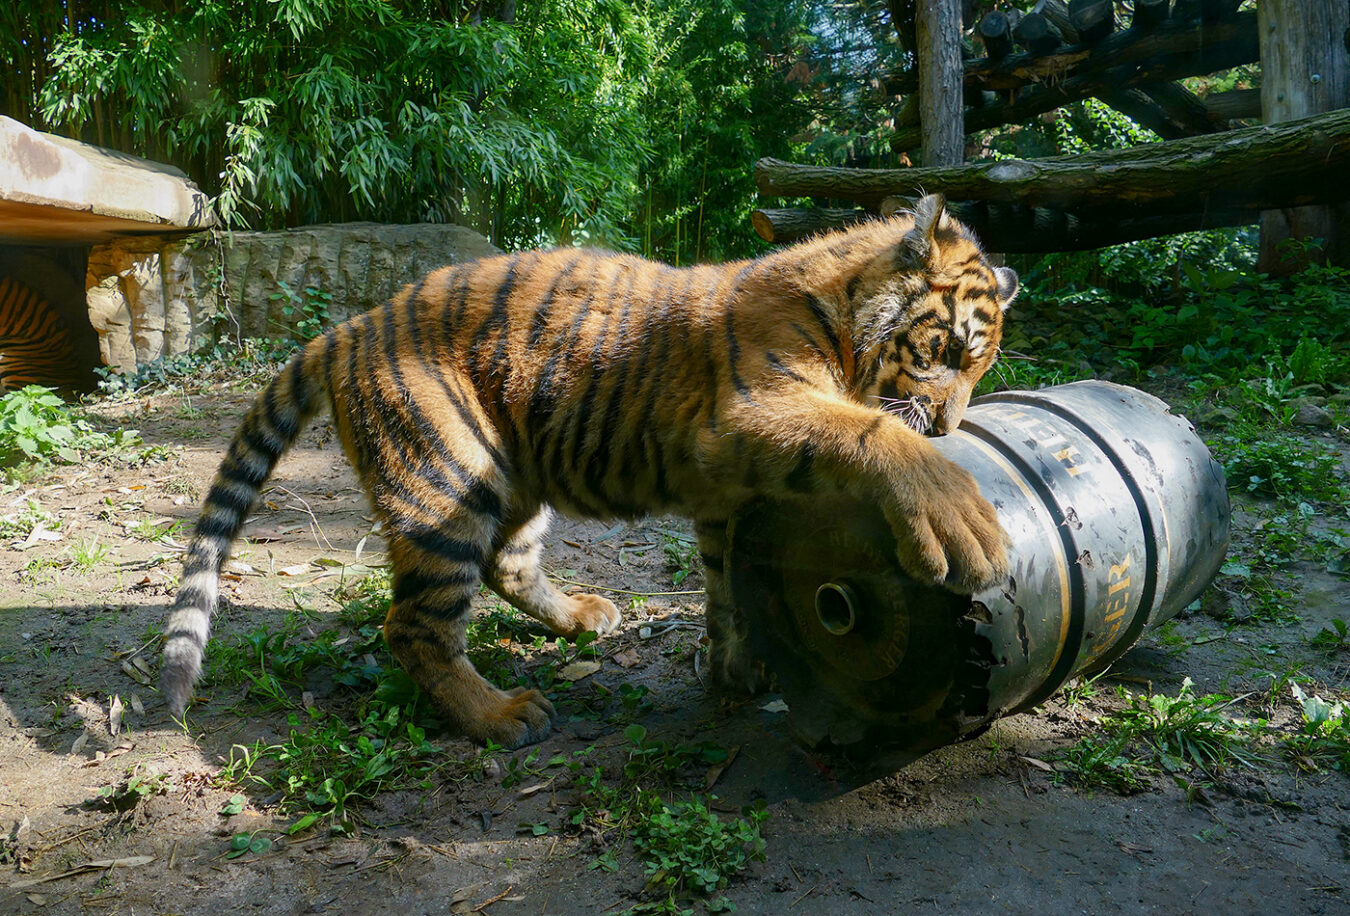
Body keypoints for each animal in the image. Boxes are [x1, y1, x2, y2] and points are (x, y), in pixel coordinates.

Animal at [161, 194, 1019, 749]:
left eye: (980, 369)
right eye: (948, 353)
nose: (953, 426)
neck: (845, 318)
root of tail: (351, 327)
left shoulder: (726, 494)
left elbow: (728, 591)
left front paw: (737, 672)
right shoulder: (747, 412)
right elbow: (873, 431)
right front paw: (963, 522)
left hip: (511, 475)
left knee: (505, 567)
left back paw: (579, 618)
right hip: (446, 477)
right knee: (414, 625)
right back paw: (501, 716)